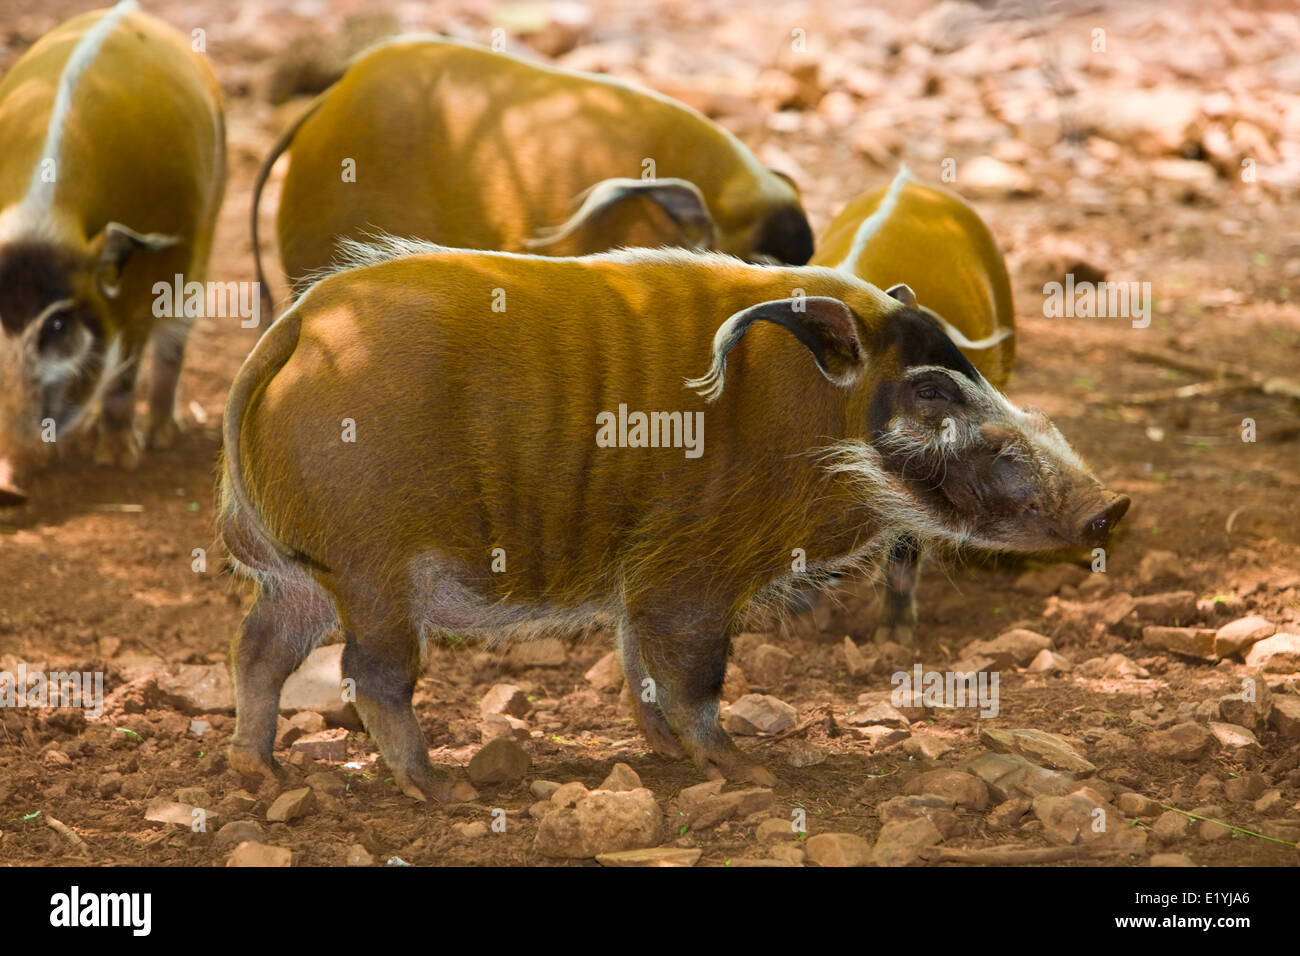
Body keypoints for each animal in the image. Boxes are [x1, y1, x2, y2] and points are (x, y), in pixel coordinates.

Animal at [0, 0, 226, 504]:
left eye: (58, 325)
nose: (5, 484)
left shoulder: (144, 293)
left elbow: (125, 374)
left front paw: (119, 458)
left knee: (172, 344)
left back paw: (158, 433)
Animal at [218, 238, 1129, 799]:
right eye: (933, 388)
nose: (1111, 507)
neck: (805, 417)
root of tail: (293, 330)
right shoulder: (692, 573)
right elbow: (697, 672)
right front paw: (746, 771)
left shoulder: (642, 581)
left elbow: (640, 662)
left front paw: (660, 752)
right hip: (374, 570)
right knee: (372, 675)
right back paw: (444, 789)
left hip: (305, 573)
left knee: (259, 650)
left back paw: (260, 773)